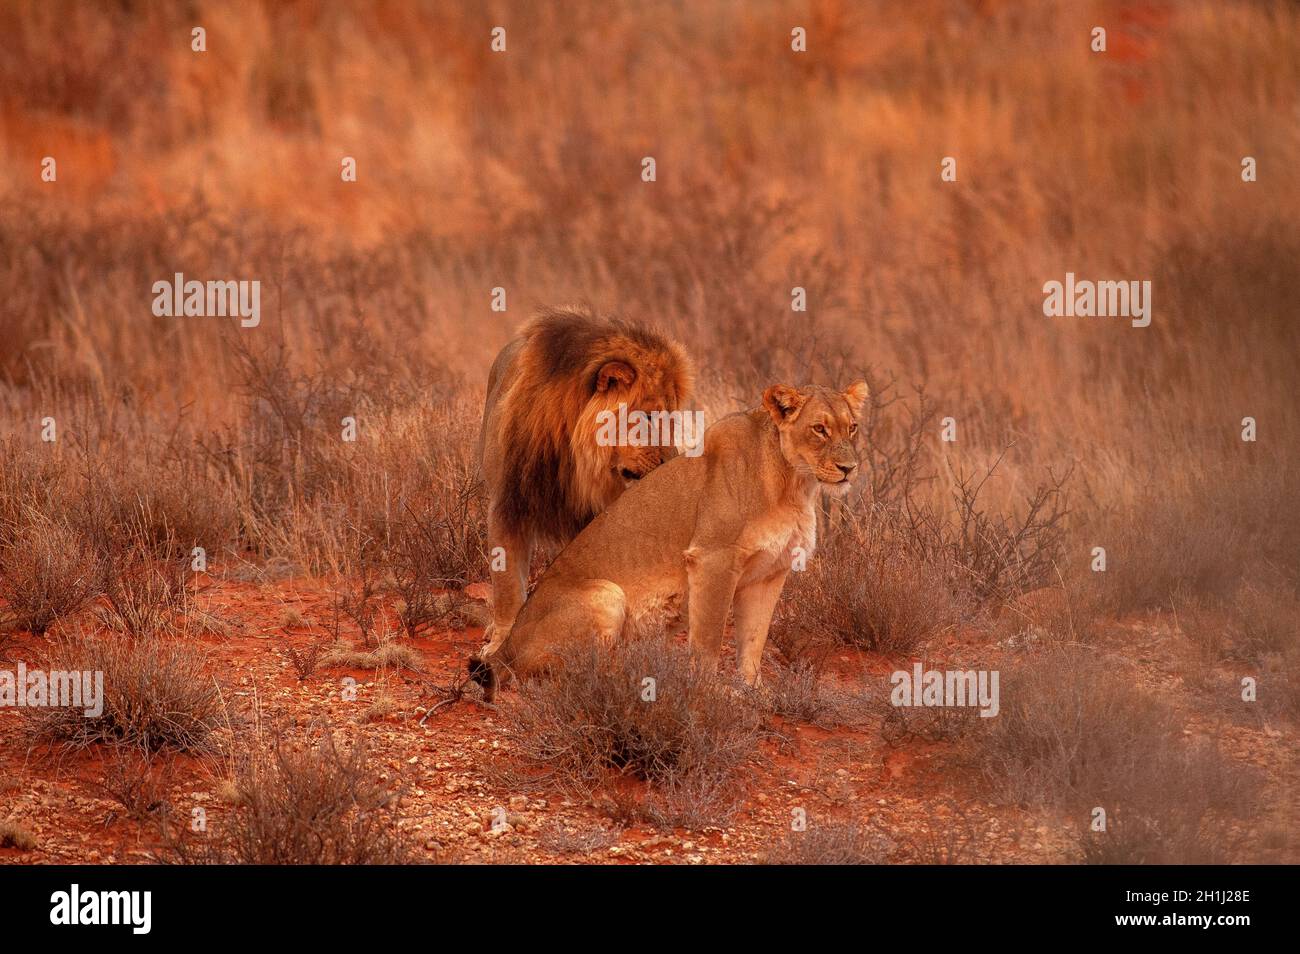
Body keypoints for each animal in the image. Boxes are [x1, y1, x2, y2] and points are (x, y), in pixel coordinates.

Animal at [469, 380, 869, 701]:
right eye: (819, 429)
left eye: (852, 428)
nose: (849, 469)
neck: (794, 484)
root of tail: (507, 644)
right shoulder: (713, 558)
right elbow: (709, 638)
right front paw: (711, 691)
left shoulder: (771, 572)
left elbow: (754, 639)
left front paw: (756, 690)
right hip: (605, 595)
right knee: (573, 672)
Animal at [478, 305, 694, 654]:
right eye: (648, 417)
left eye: (672, 420)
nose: (672, 464)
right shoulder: (508, 503)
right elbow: (508, 583)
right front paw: (501, 641)